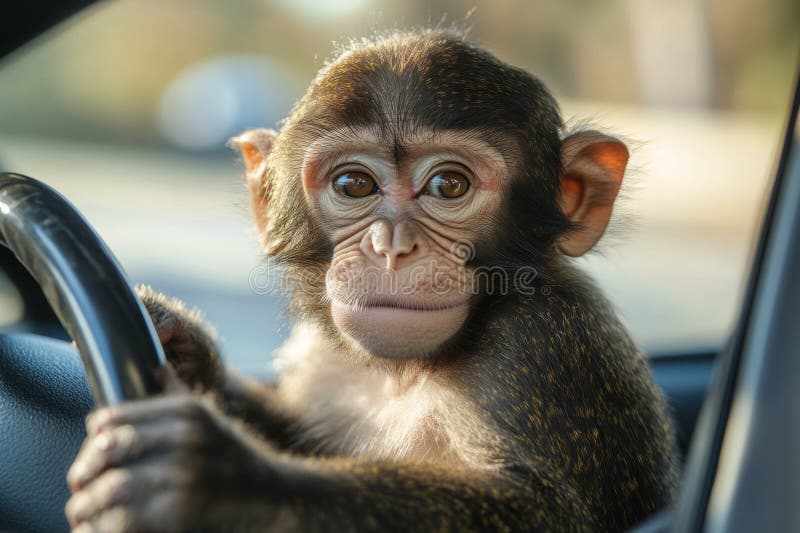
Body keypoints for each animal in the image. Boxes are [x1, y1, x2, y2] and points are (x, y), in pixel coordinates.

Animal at [65, 30, 679, 532]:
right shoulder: (319, 355)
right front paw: (183, 348)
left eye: (449, 185)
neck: (404, 374)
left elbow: (542, 509)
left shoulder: (546, 347)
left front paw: (230, 484)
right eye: (354, 184)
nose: (392, 246)